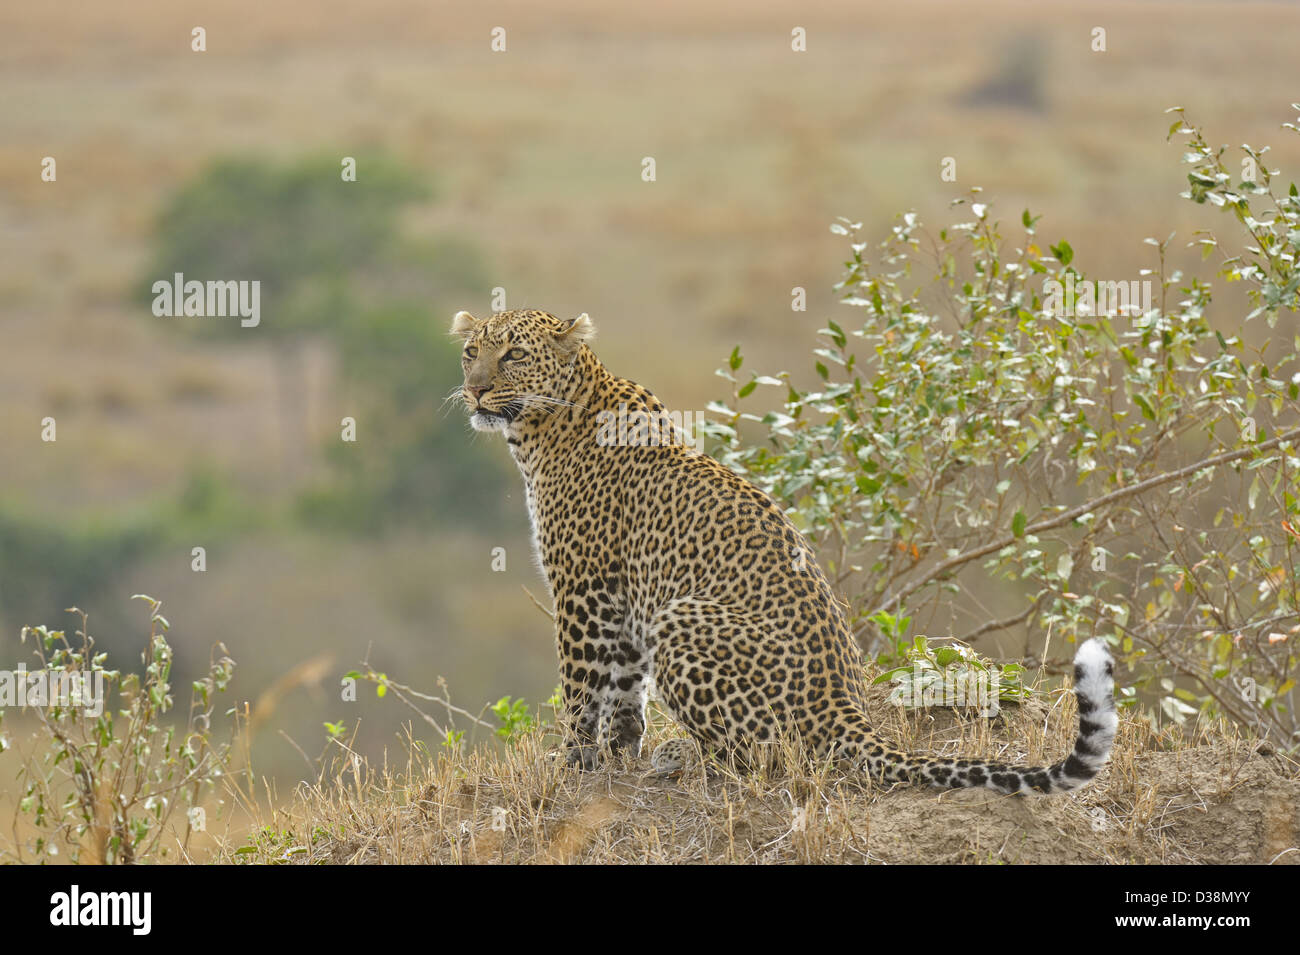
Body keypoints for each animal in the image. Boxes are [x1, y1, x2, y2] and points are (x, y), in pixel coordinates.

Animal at [451, 307, 1118, 795]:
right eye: (470, 351)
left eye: (513, 354)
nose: (475, 390)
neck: (542, 431)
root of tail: (846, 708)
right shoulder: (622, 596)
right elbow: (623, 690)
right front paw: (618, 756)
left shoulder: (584, 590)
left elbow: (581, 686)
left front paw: (572, 762)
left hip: (682, 615)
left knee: (769, 759)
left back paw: (685, 759)